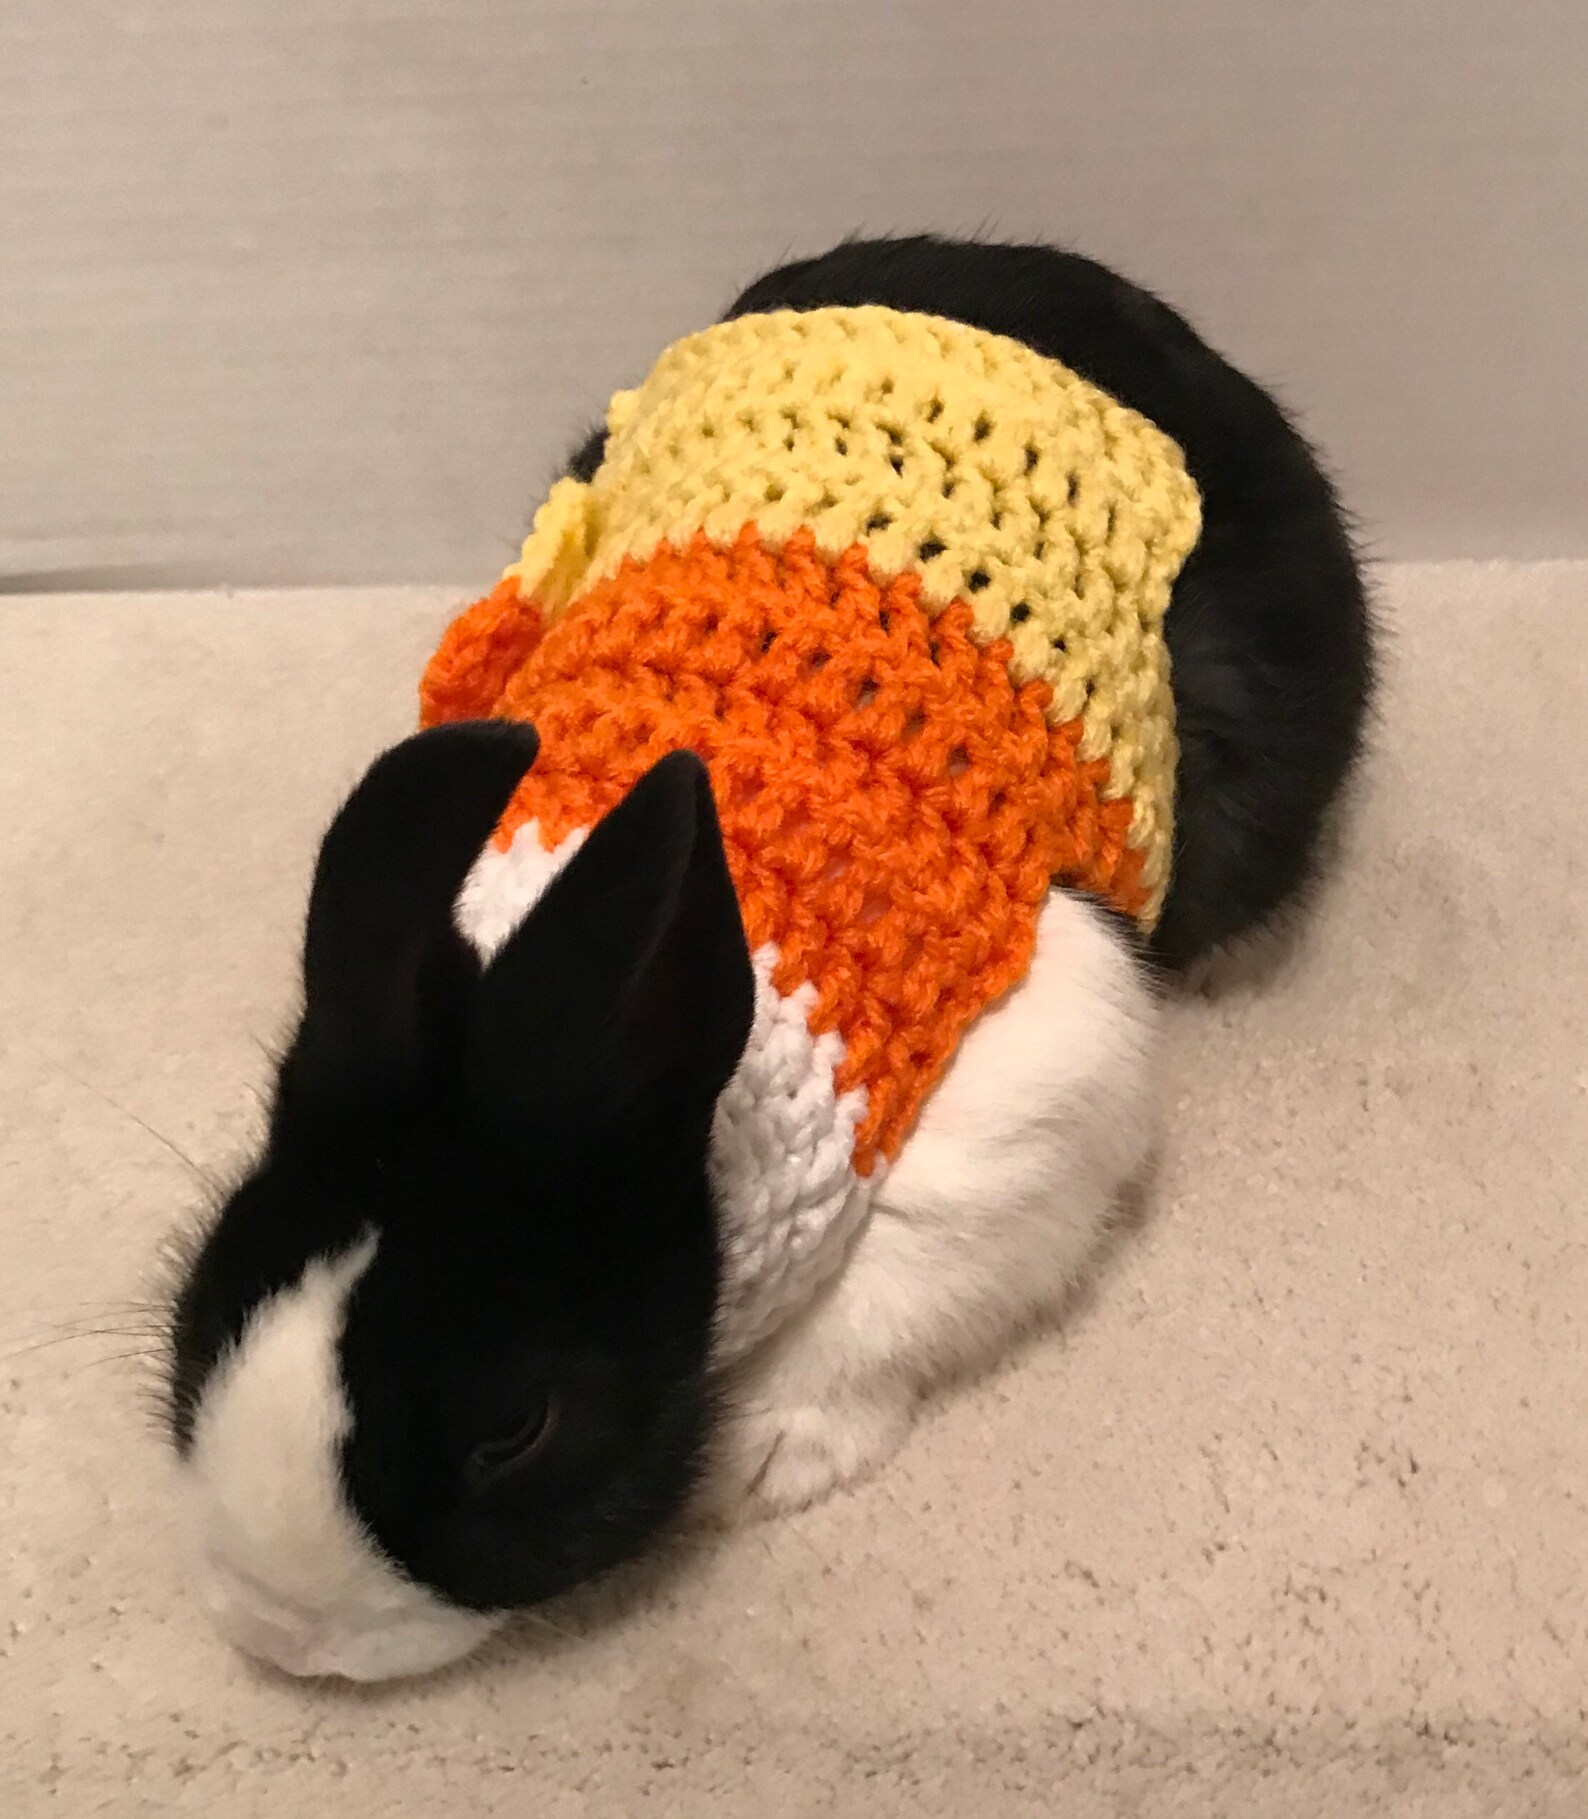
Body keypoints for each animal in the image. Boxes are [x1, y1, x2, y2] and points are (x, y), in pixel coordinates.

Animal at [163, 234, 1373, 1682]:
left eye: (517, 1424)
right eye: (203, 1296)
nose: (282, 1634)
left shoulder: (1025, 1095)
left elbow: (892, 1292)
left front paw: (767, 1453)